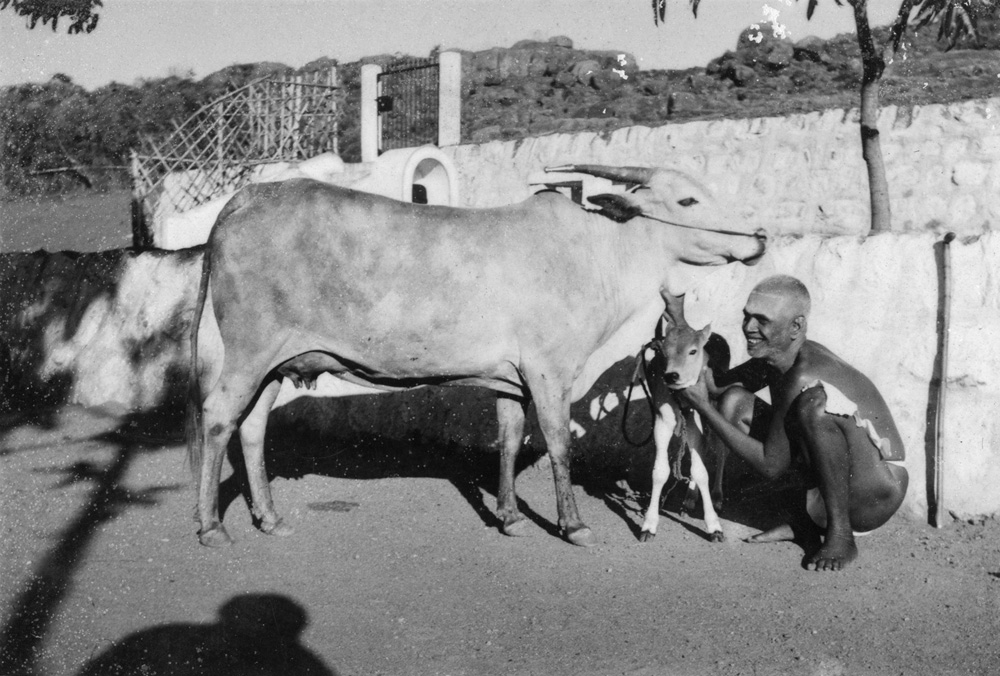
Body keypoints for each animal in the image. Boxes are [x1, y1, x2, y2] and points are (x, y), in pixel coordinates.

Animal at [187, 164, 768, 548]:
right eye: (688, 201)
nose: (759, 235)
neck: (596, 250)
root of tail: (245, 198)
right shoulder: (549, 370)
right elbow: (558, 444)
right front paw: (573, 524)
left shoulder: (511, 381)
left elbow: (509, 440)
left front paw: (509, 516)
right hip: (250, 351)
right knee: (217, 417)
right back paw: (212, 526)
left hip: (274, 365)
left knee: (252, 427)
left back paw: (268, 517)